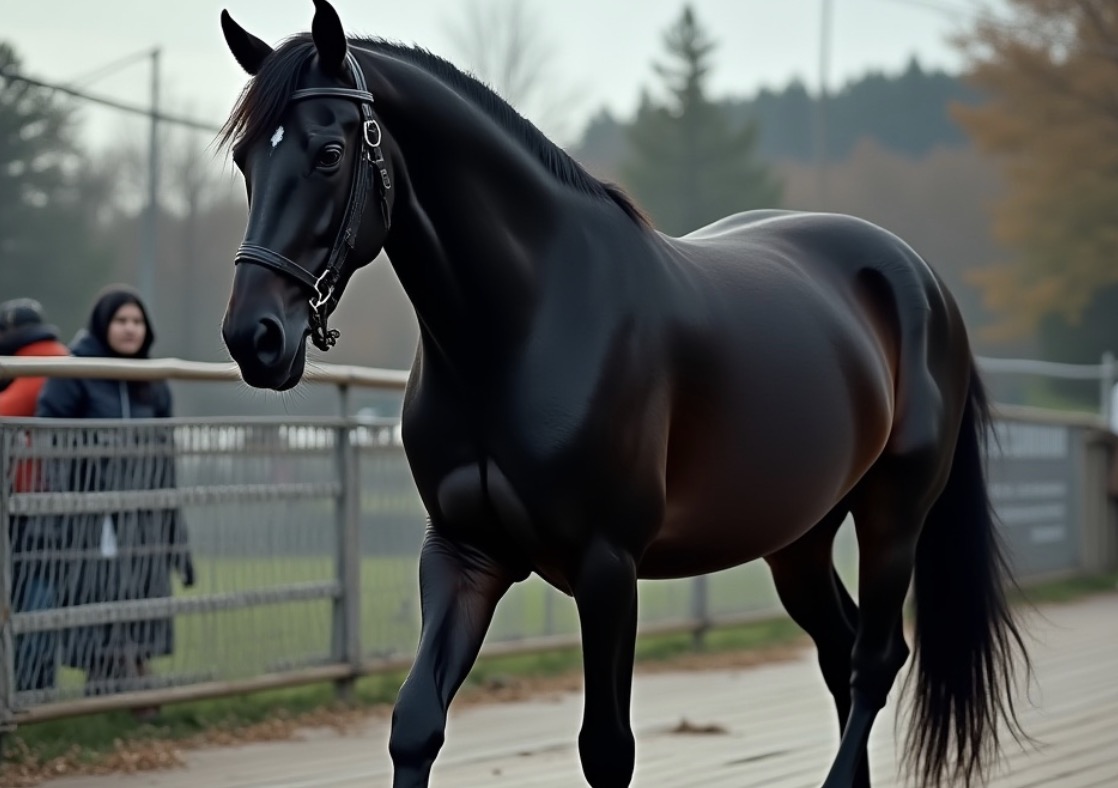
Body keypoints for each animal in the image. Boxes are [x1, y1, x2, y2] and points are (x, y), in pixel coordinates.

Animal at [217, 3, 1028, 786]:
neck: (525, 324)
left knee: (873, 662)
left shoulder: (607, 567)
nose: (254, 337)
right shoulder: (462, 551)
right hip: (799, 535)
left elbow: (606, 751)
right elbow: (416, 722)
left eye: (328, 154)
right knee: (839, 649)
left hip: (894, 513)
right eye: (245, 158)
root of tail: (919, 278)